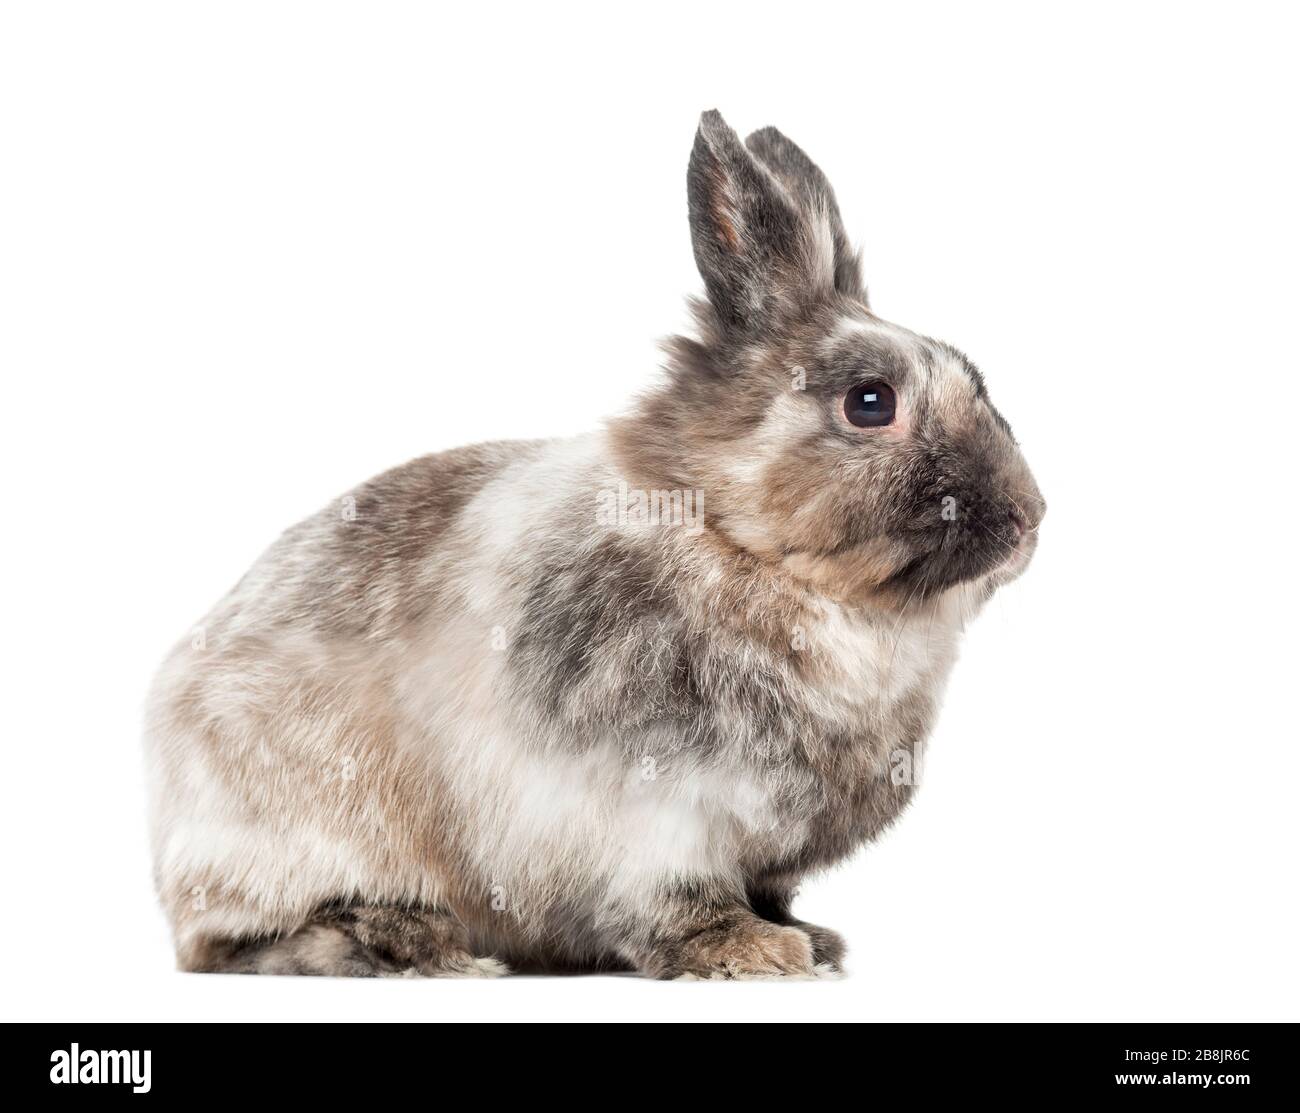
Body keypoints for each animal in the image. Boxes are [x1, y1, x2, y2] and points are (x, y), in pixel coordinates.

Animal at [145, 109, 1044, 980]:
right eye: (869, 401)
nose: (1029, 518)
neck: (739, 546)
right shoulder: (645, 812)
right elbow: (674, 898)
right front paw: (749, 953)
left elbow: (767, 889)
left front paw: (810, 941)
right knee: (239, 941)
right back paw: (413, 945)